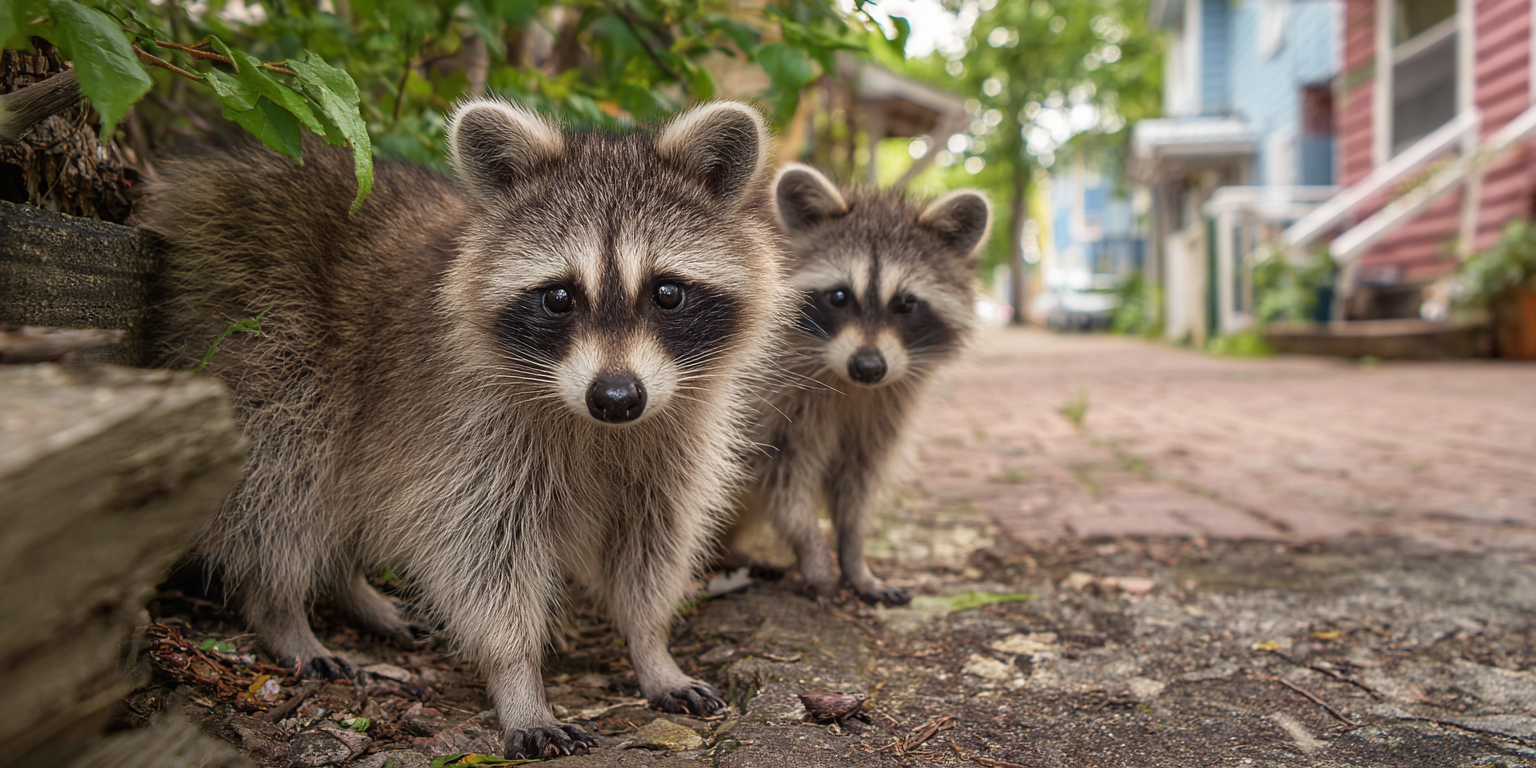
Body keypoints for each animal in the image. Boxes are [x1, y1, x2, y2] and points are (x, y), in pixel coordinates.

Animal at [137, 99, 788, 758]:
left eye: (667, 292)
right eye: (559, 297)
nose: (615, 398)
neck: (594, 424)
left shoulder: (675, 435)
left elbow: (654, 542)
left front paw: (651, 646)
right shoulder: (470, 431)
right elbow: (481, 554)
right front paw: (520, 682)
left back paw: (349, 586)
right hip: (263, 329)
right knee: (286, 471)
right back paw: (279, 607)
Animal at [729, 164, 990, 606]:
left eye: (905, 304)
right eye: (838, 296)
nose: (868, 366)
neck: (848, 386)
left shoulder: (883, 412)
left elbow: (857, 486)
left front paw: (854, 557)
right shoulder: (768, 397)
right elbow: (783, 481)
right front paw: (813, 552)